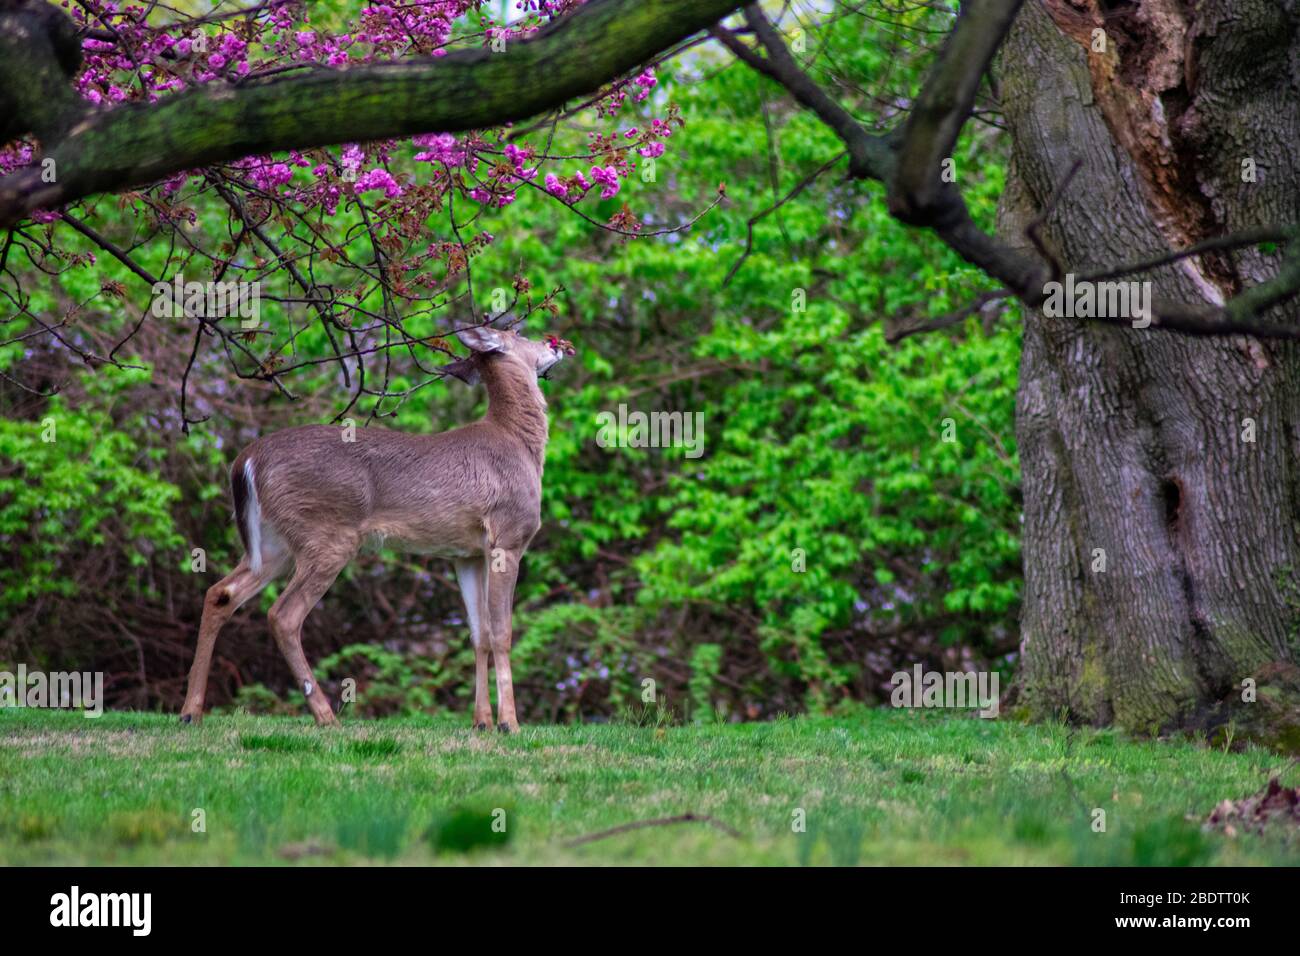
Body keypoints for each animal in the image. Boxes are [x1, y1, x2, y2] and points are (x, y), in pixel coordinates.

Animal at [178, 323, 573, 732]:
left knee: (221, 593)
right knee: (283, 615)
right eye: (517, 332)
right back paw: (326, 717)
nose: (555, 342)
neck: (518, 443)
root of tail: (246, 460)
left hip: (274, 544)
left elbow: (477, 633)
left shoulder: (466, 554)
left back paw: (191, 711)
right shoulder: (507, 536)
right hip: (327, 536)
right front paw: (508, 723)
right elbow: (501, 632)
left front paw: (480, 722)